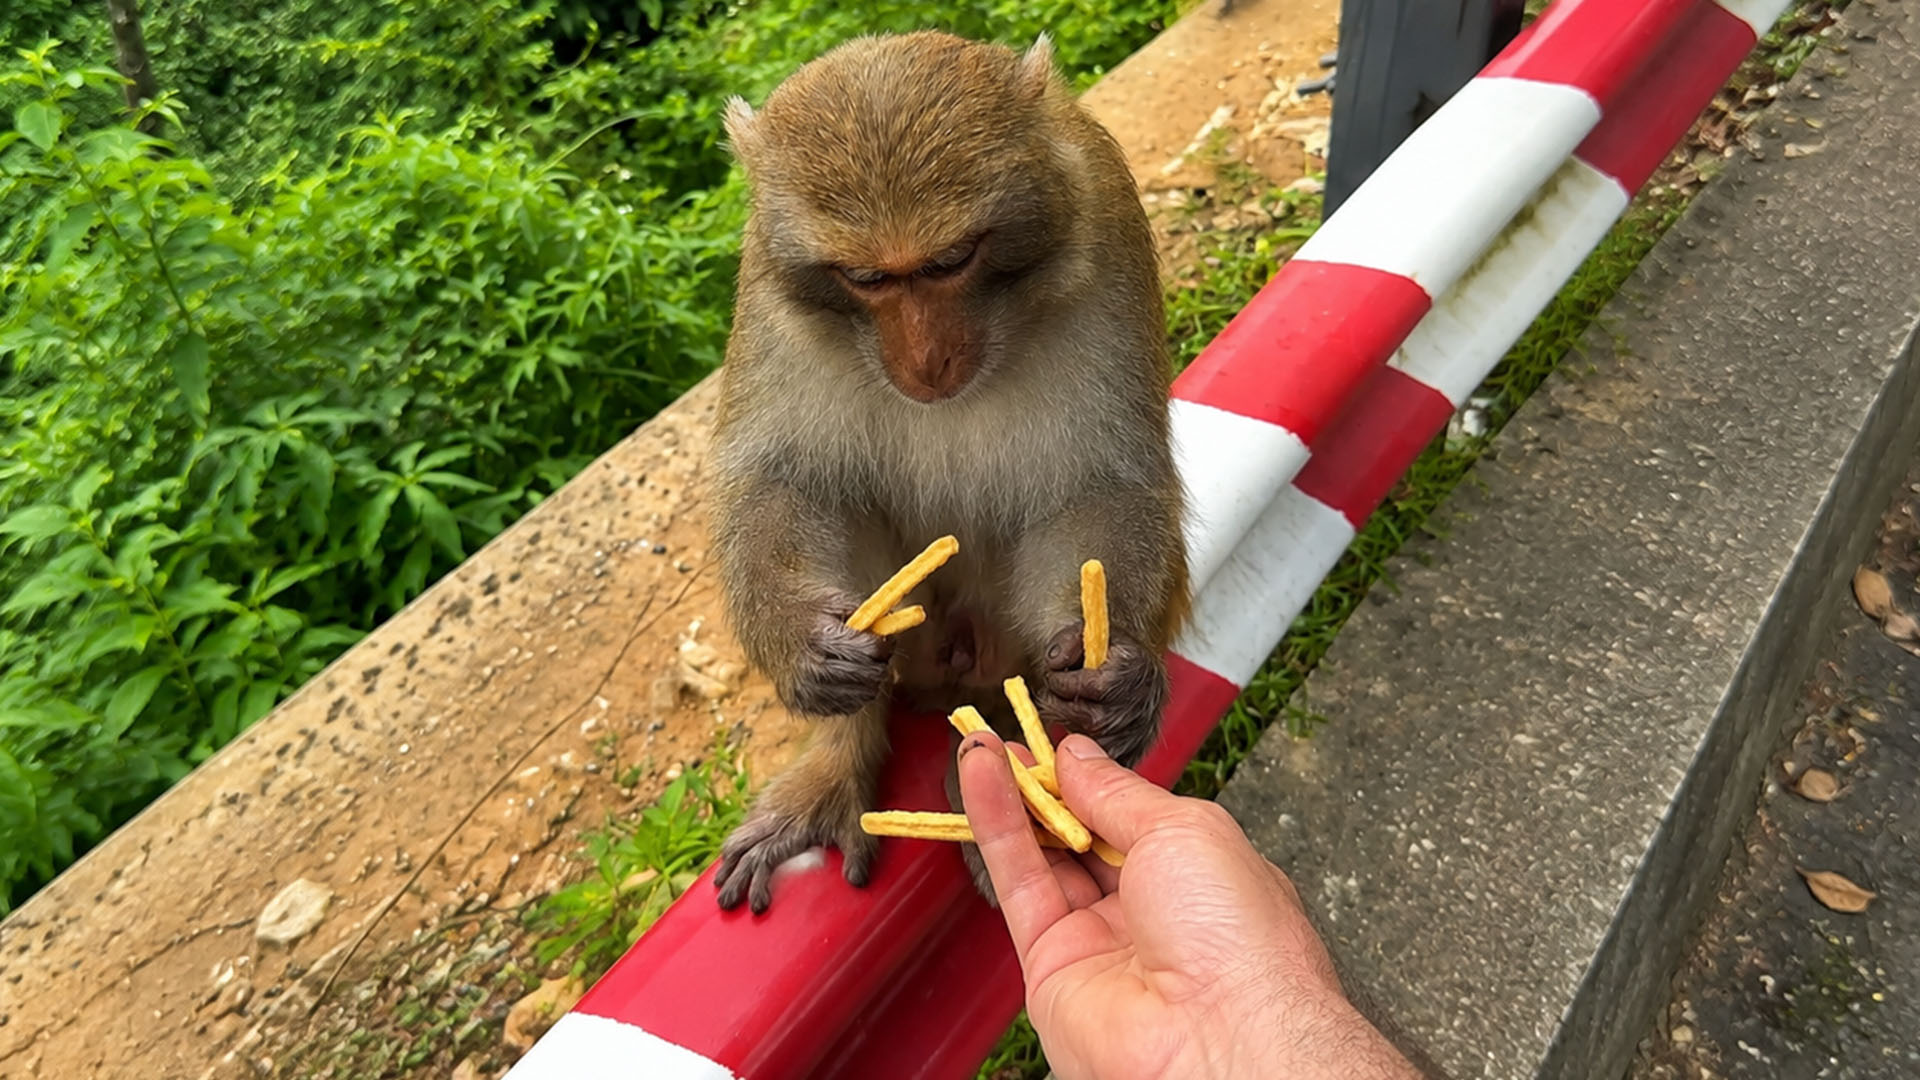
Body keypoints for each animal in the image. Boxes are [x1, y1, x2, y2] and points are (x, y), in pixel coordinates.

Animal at [706, 30, 1189, 915]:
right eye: (867, 278)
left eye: (952, 260)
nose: (927, 359)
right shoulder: (771, 290)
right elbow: (780, 479)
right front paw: (803, 643)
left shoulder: (1104, 234)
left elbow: (1103, 484)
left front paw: (1113, 679)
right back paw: (840, 764)